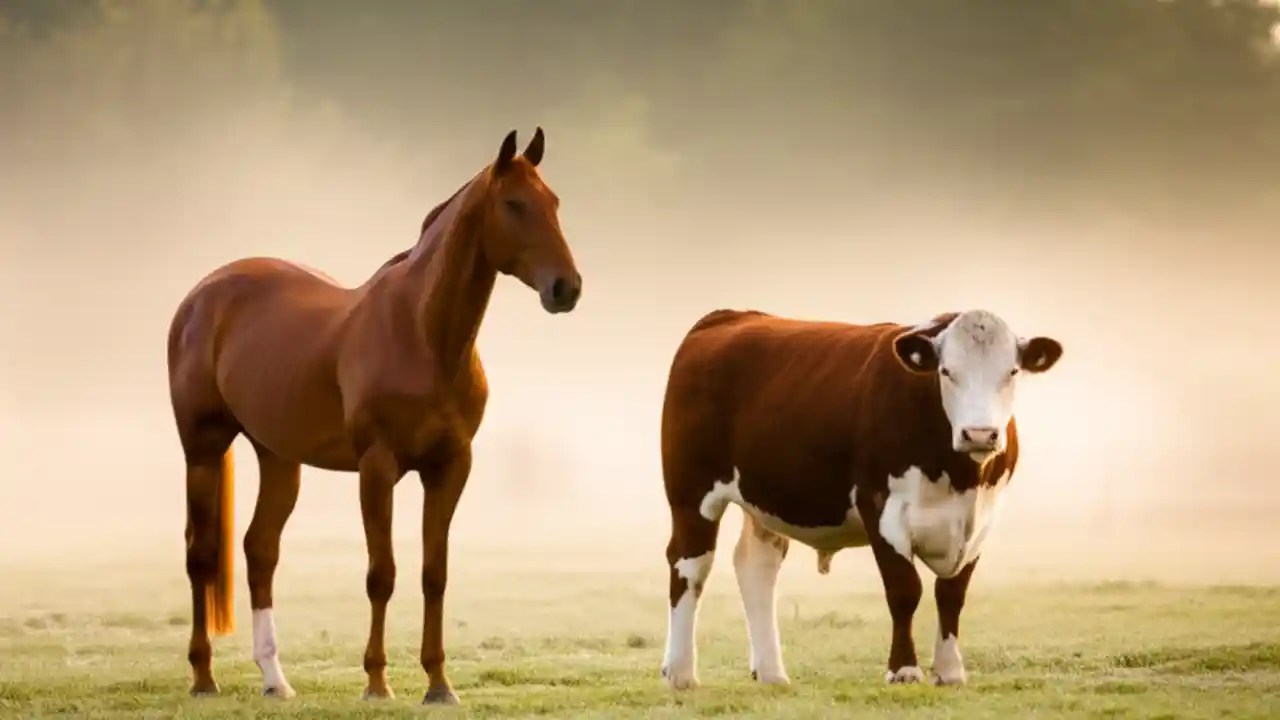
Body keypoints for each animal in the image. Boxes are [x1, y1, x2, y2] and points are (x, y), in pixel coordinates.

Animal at [166, 128, 582, 705]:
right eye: (515, 204)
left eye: (556, 203)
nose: (566, 288)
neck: (423, 336)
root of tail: (200, 296)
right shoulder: (377, 468)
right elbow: (381, 573)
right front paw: (377, 682)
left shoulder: (450, 467)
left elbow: (434, 573)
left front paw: (439, 685)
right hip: (202, 447)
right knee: (201, 554)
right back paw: (204, 677)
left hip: (278, 457)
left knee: (260, 550)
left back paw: (275, 679)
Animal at [658, 308, 1062, 689]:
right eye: (947, 371)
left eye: (1011, 371)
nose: (979, 434)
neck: (958, 475)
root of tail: (727, 317)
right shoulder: (882, 509)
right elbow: (905, 590)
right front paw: (903, 670)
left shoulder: (980, 519)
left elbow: (951, 594)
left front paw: (949, 670)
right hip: (691, 493)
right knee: (690, 565)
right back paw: (680, 672)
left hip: (763, 498)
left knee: (757, 566)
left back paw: (772, 673)